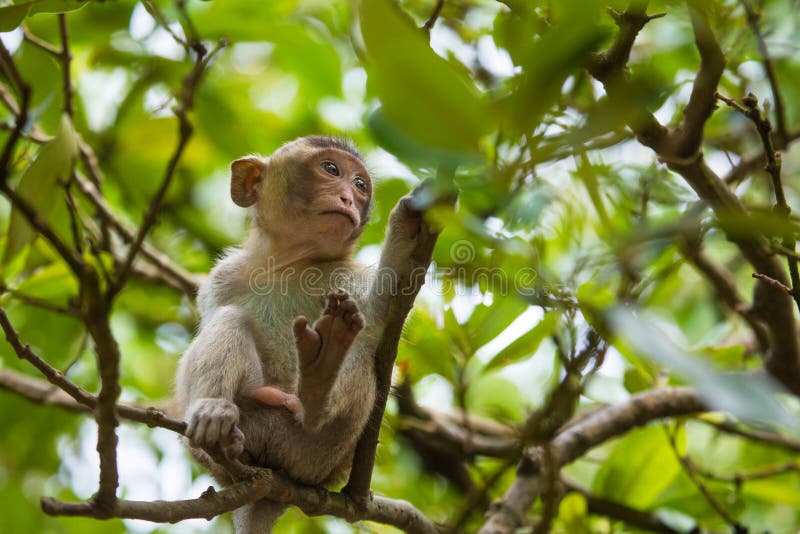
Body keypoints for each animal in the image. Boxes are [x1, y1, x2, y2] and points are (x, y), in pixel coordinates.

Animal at [174, 136, 422, 533]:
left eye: (360, 184)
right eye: (331, 169)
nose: (348, 198)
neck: (288, 263)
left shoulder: (349, 278)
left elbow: (387, 309)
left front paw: (409, 224)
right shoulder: (221, 280)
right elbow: (213, 318)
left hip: (319, 455)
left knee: (357, 354)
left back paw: (318, 388)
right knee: (230, 319)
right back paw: (215, 422)